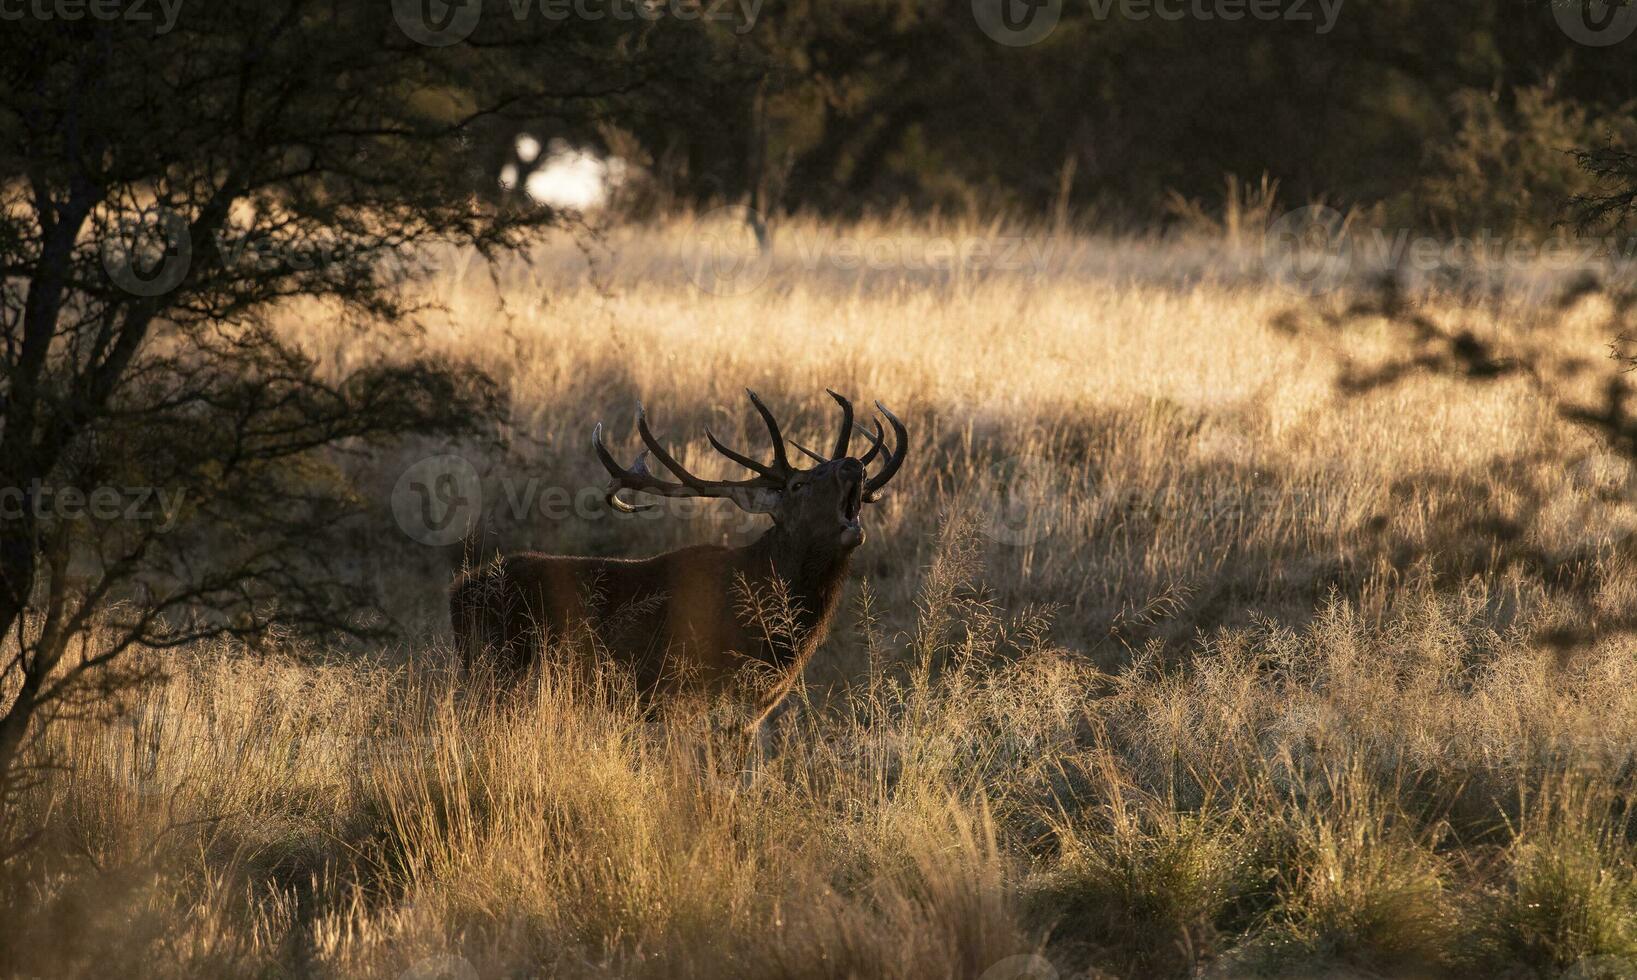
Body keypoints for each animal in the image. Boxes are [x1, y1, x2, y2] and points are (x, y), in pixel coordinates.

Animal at [449, 389, 908, 733]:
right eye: (798, 484)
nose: (853, 465)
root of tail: (458, 593)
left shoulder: (748, 709)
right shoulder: (688, 694)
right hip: (500, 669)